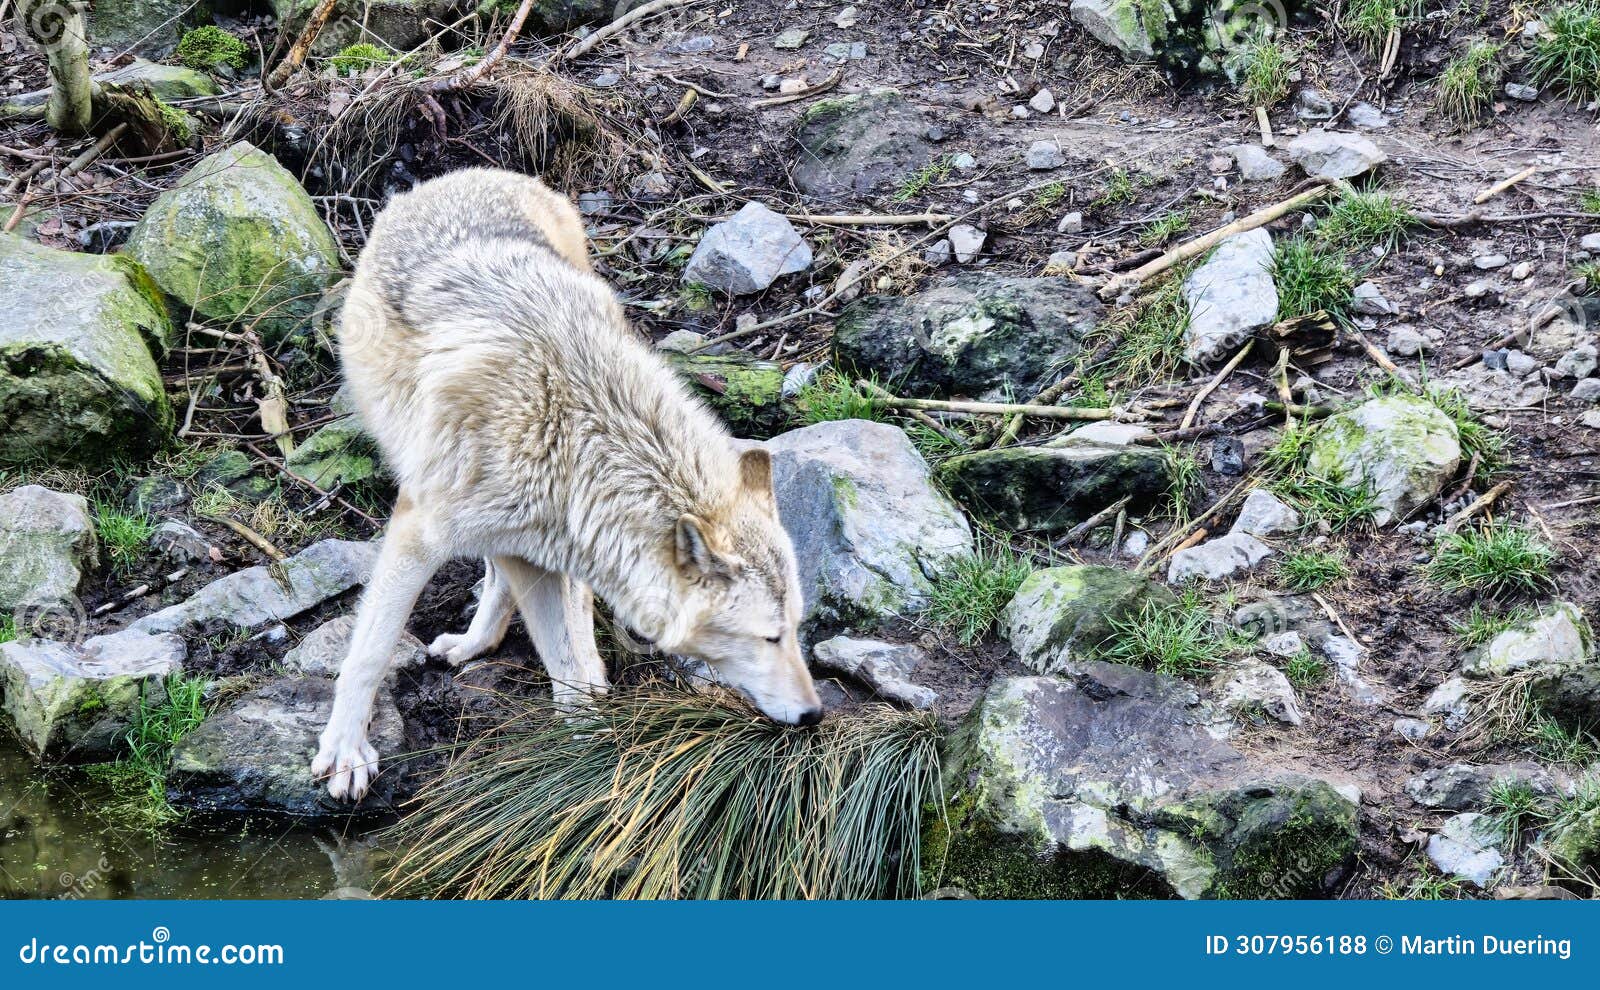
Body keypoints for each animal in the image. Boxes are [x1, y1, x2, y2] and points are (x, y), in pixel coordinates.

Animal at [313, 168, 822, 800]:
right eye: (771, 638)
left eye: (795, 630)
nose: (815, 714)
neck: (573, 423)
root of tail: (475, 173)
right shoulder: (418, 533)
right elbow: (369, 650)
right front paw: (345, 751)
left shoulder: (542, 545)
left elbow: (568, 665)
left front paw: (584, 749)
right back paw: (476, 645)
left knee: (541, 591)